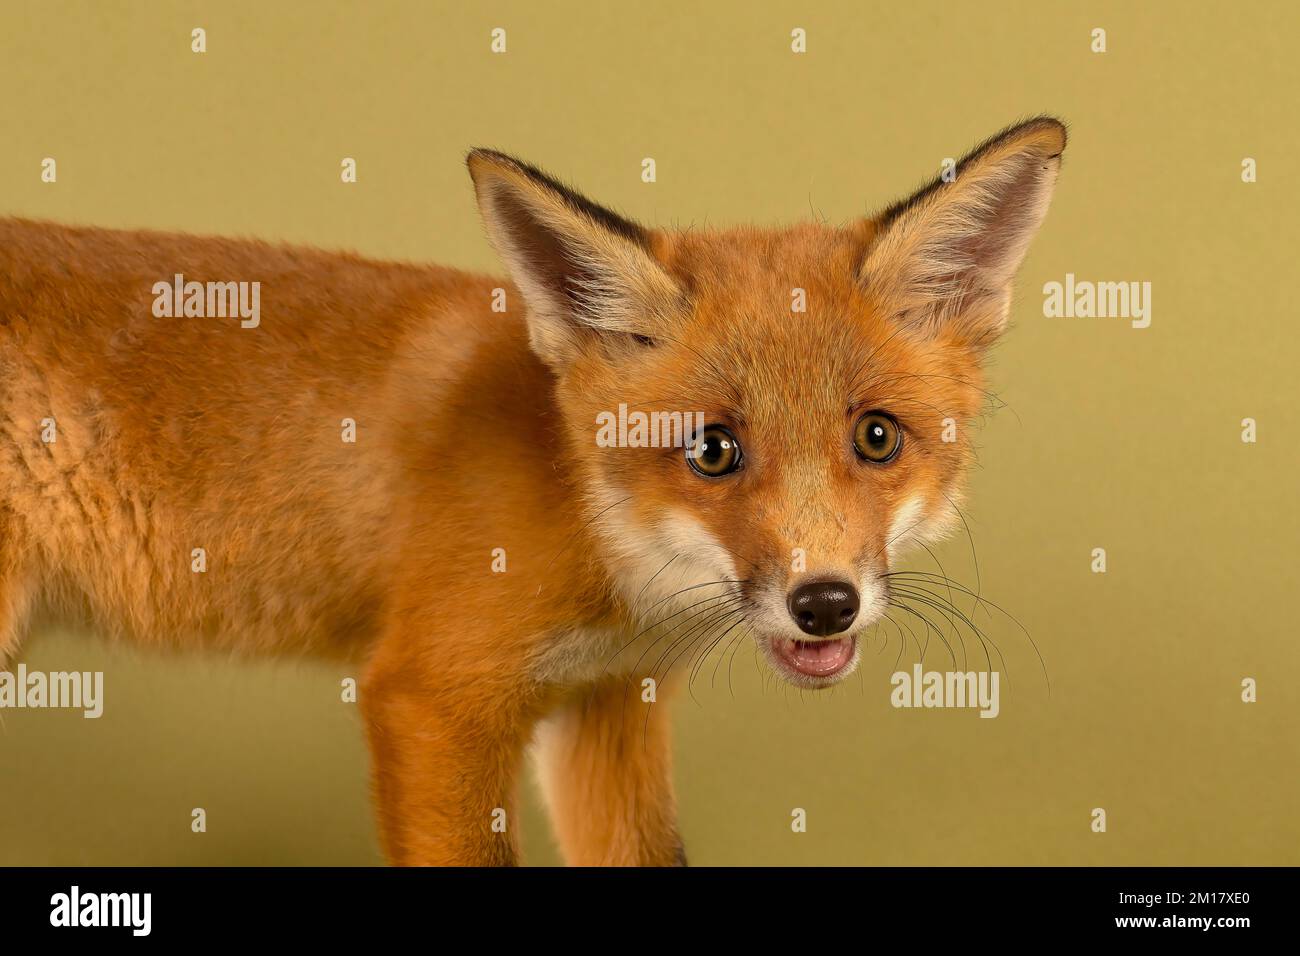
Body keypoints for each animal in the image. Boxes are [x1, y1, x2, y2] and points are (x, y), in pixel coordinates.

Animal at [0, 116, 1065, 866]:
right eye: (713, 451)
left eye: (876, 438)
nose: (825, 602)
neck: (593, 524)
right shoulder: (430, 696)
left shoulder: (606, 706)